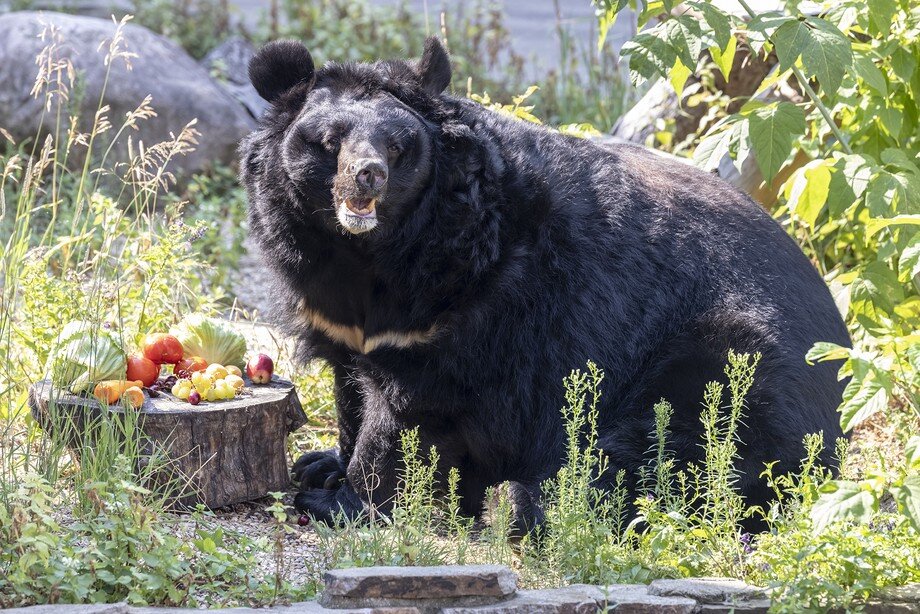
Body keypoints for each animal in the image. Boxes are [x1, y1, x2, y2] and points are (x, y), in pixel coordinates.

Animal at [239, 37, 848, 528]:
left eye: (397, 146)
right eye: (329, 140)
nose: (368, 177)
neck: (368, 253)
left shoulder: (460, 312)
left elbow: (406, 414)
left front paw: (340, 501)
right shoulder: (339, 313)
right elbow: (350, 389)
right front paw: (321, 464)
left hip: (728, 361)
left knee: (678, 446)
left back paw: (525, 501)